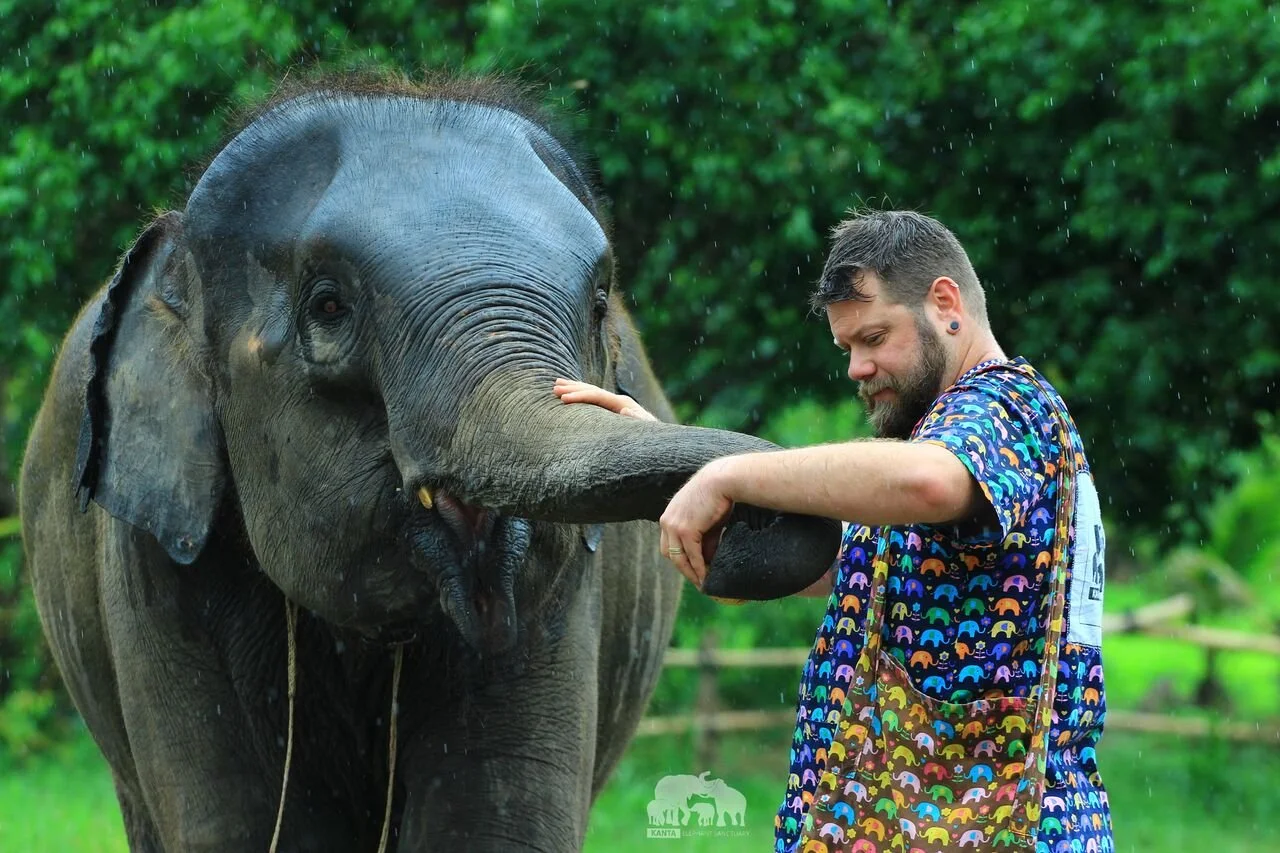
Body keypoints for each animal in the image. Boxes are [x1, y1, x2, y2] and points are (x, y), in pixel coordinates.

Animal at [19, 73, 841, 852]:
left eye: (599, 303)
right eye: (328, 306)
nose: (731, 527)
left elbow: (492, 826)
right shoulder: (157, 564)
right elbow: (243, 830)